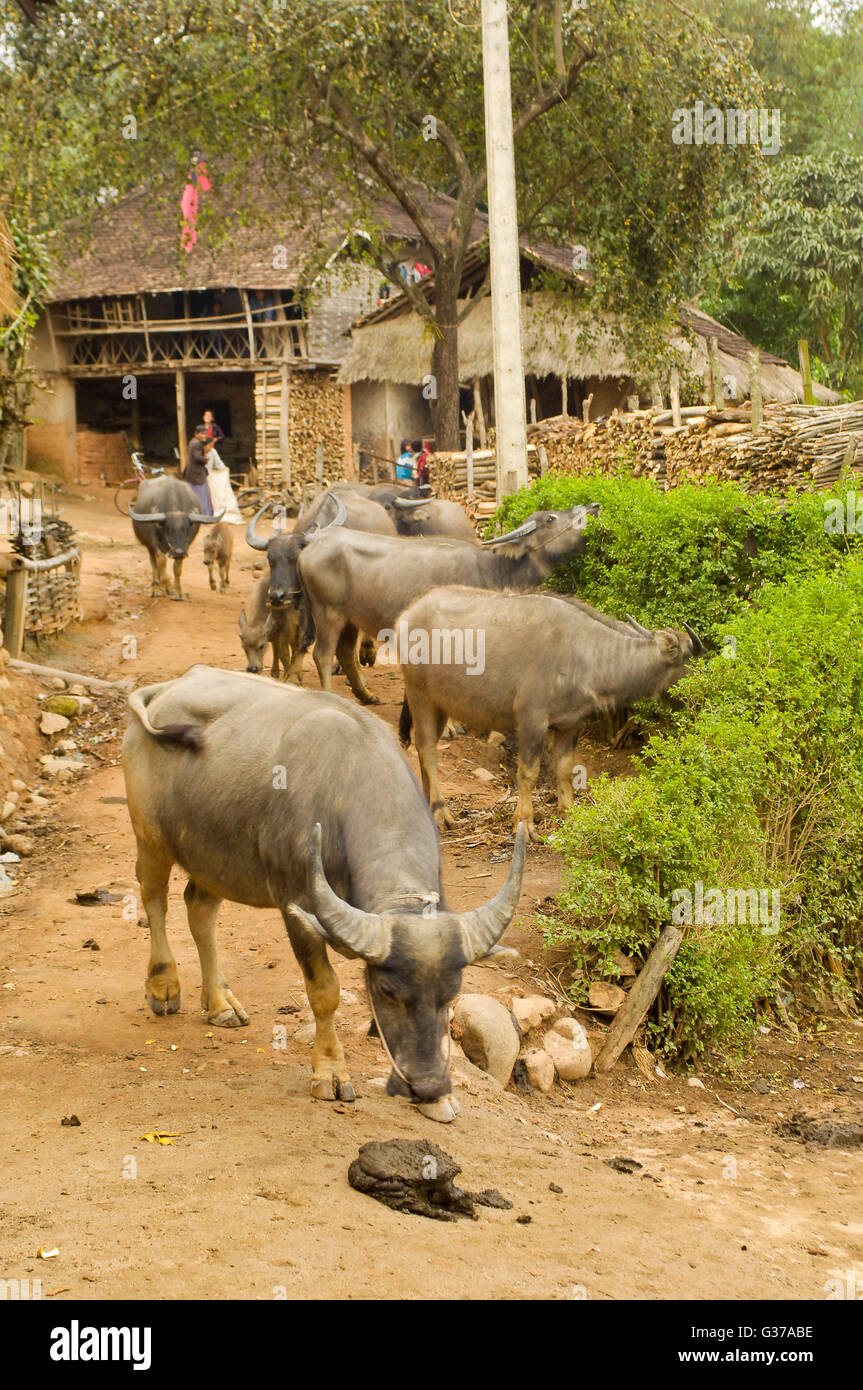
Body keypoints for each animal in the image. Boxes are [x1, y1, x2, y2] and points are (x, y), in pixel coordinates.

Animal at [122, 665, 526, 1121]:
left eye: (451, 995)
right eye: (388, 992)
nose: (427, 1086)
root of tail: (165, 689)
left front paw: (440, 1097)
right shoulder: (296, 904)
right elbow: (325, 993)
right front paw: (330, 1073)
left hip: (213, 855)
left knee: (199, 909)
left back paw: (221, 1003)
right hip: (150, 836)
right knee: (154, 898)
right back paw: (163, 987)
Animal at [295, 504, 599, 706]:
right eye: (551, 518)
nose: (593, 507)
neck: (491, 569)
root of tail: (315, 541)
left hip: (349, 616)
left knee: (345, 653)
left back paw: (367, 696)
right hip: (328, 612)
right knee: (323, 655)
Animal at [397, 586, 703, 840]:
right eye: (693, 663)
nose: (699, 700)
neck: (584, 652)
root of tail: (408, 614)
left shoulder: (570, 725)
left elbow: (564, 769)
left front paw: (569, 814)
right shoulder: (532, 720)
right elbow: (528, 773)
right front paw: (525, 823)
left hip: (440, 703)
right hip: (419, 695)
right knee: (426, 749)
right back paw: (441, 811)